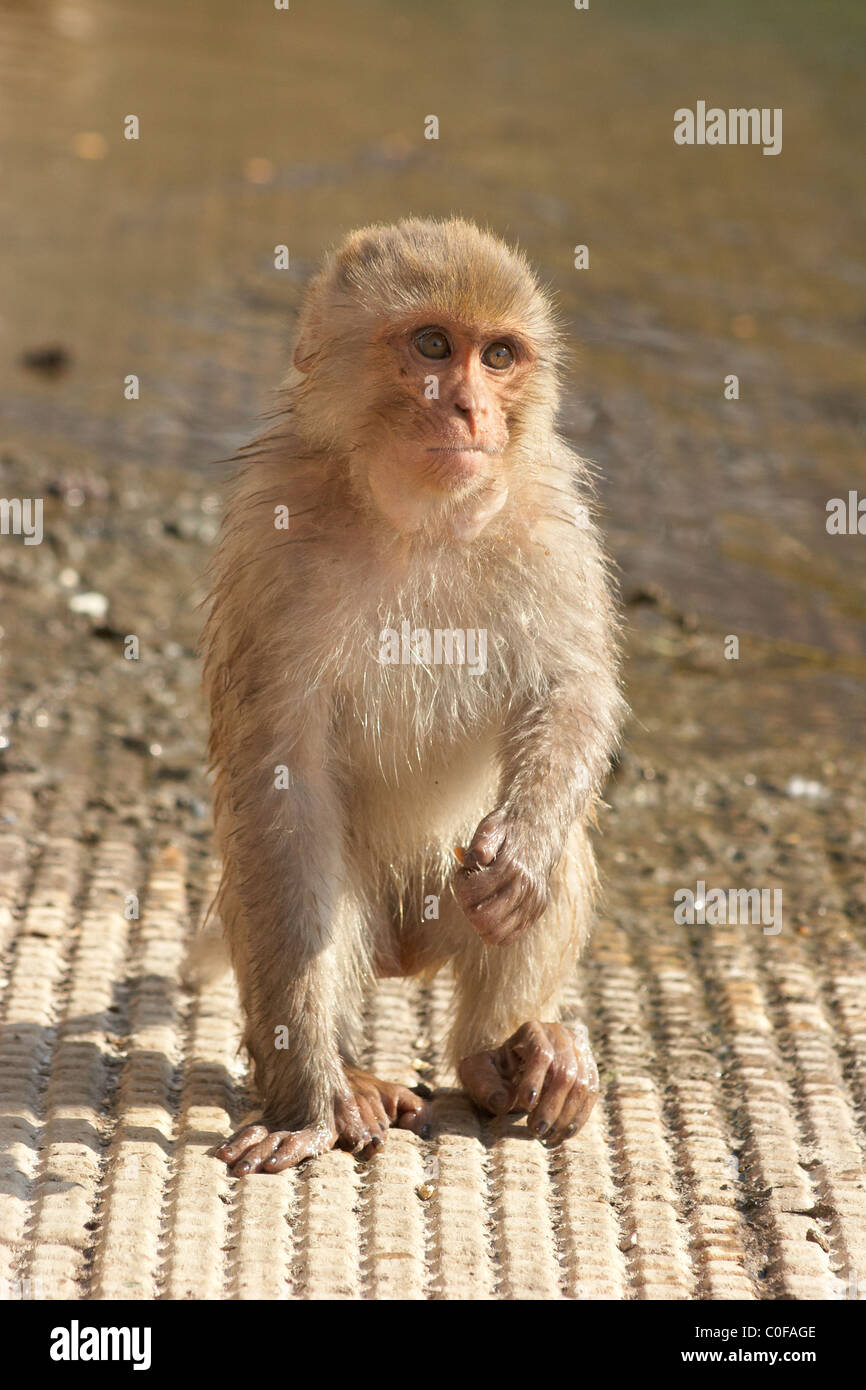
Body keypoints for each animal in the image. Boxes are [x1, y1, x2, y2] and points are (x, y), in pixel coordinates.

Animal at [201, 218, 625, 1176]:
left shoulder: (549, 514)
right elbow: (280, 790)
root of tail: (408, 950)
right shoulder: (269, 538)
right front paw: (309, 1098)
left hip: (447, 891)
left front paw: (525, 850)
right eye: (433, 346)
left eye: (498, 356)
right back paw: (349, 1081)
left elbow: (572, 688)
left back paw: (506, 1056)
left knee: (533, 869)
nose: (469, 410)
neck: (413, 519)